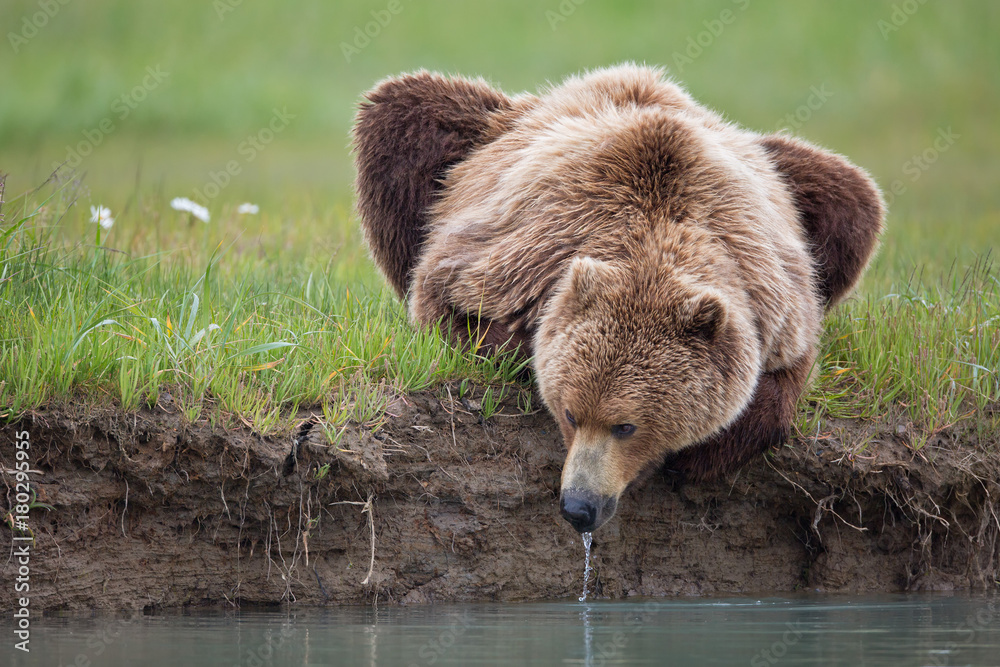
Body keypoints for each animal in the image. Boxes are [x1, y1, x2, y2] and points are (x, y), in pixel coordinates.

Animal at [352, 65, 884, 533]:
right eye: (570, 414)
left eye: (625, 426)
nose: (579, 505)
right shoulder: (516, 256)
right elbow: (452, 309)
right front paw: (515, 348)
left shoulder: (775, 299)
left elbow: (782, 381)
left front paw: (701, 453)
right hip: (474, 139)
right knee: (403, 114)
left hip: (790, 177)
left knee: (850, 196)